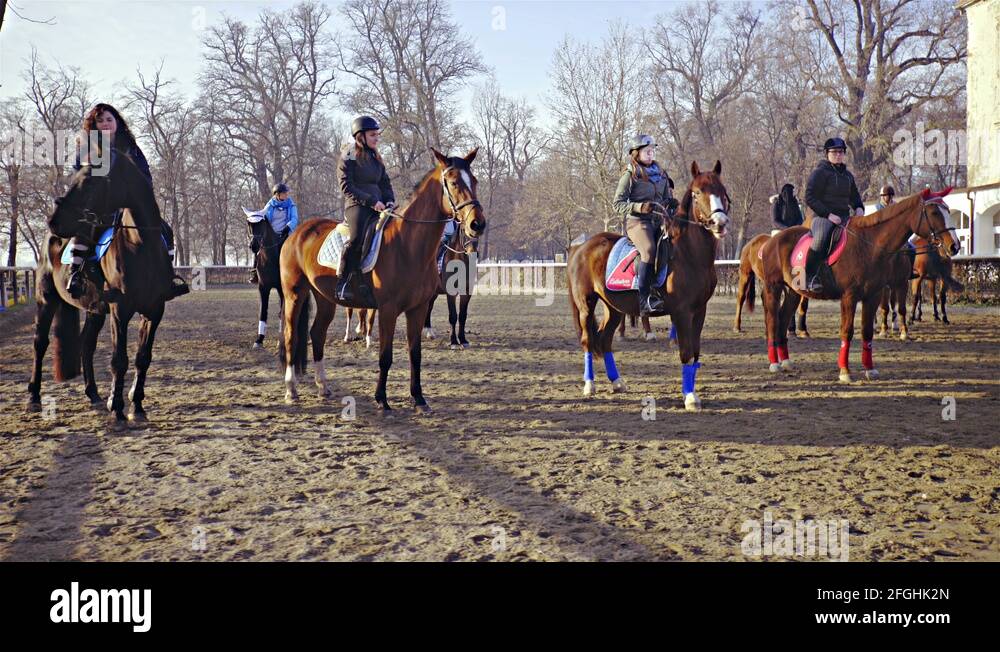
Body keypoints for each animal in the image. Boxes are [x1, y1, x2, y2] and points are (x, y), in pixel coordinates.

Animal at [33, 151, 178, 423]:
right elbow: (119, 360)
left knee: (86, 345)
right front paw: (118, 407)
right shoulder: (120, 310)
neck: (140, 245)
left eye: (90, 182)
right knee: (40, 343)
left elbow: (143, 358)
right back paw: (33, 397)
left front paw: (137, 406)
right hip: (46, 299)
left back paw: (93, 394)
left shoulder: (154, 310)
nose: (53, 221)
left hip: (95, 310)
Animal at [247, 213, 284, 349]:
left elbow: (282, 312)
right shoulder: (263, 287)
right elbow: (263, 312)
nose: (253, 246)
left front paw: (281, 340)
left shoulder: (281, 288)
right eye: (249, 225)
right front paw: (259, 340)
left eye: (262, 224)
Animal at [423, 221, 478, 349]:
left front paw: (463, 340)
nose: (473, 252)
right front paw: (453, 342)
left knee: (429, 307)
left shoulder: (466, 292)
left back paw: (429, 332)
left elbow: (462, 315)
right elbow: (453, 316)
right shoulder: (450, 293)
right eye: (464, 230)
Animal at [566, 160, 729, 410]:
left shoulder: (699, 311)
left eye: (721, 190)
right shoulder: (682, 312)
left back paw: (617, 382)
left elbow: (695, 351)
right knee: (588, 341)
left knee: (604, 339)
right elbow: (686, 352)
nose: (719, 223)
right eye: (697, 192)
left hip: (614, 307)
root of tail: (580, 247)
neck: (689, 254)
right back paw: (589, 385)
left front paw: (692, 394)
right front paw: (690, 397)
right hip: (586, 305)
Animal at [757, 187, 959, 382]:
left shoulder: (873, 295)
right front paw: (845, 372)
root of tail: (772, 240)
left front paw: (870, 369)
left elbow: (867, 331)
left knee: (783, 319)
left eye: (948, 210)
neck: (869, 245)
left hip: (794, 291)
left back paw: (786, 361)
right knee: (773, 321)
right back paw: (774, 363)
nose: (954, 246)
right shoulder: (849, 296)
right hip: (773, 288)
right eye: (934, 212)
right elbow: (847, 331)